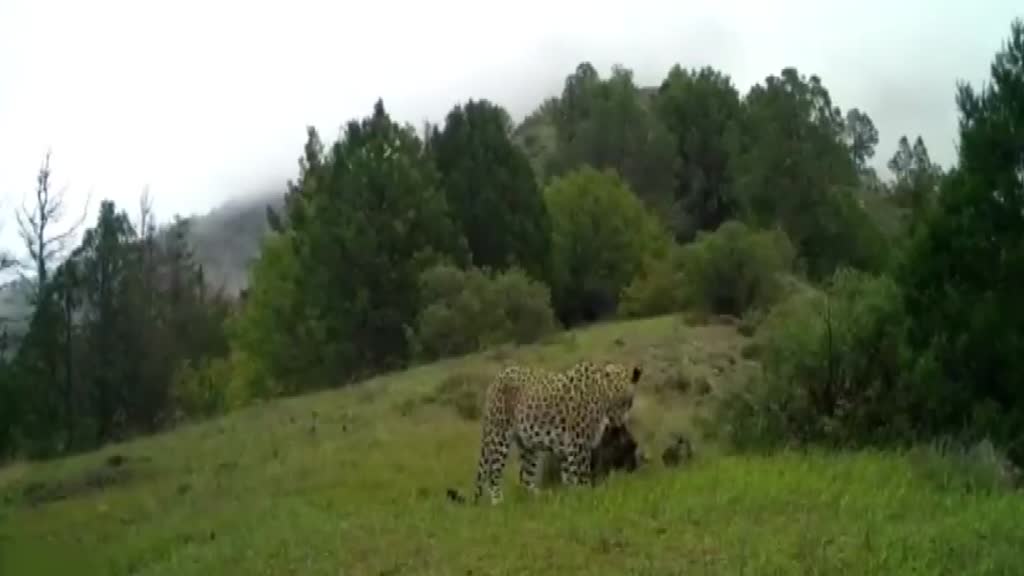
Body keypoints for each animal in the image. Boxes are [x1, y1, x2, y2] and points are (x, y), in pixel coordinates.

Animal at [472, 360, 642, 504]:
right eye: (613, 398)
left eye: (627, 401)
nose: (618, 420)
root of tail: (497, 378)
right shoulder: (578, 444)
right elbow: (581, 473)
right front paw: (586, 496)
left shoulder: (568, 448)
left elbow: (569, 476)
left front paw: (572, 498)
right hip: (499, 436)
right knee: (493, 472)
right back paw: (498, 501)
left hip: (529, 445)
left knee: (525, 477)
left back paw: (539, 497)